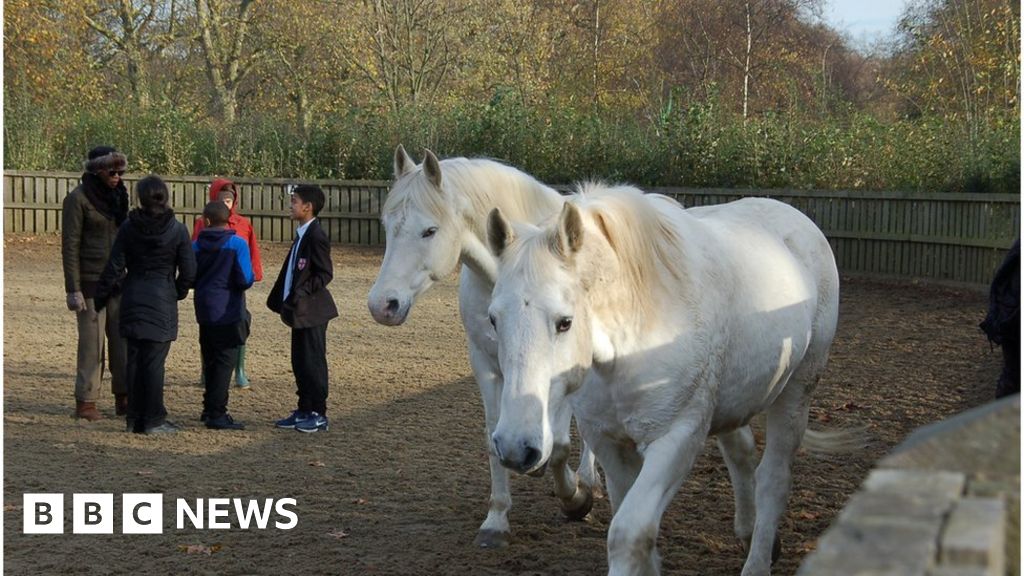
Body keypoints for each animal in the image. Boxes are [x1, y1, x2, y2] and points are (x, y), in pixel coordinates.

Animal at [367, 146, 601, 548]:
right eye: (387, 225)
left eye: (430, 230)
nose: (383, 305)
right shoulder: (486, 365)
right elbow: (494, 437)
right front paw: (496, 519)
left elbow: (559, 444)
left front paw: (575, 498)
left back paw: (589, 480)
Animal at [485, 183, 841, 576]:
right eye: (493, 319)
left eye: (565, 322)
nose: (515, 446)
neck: (638, 336)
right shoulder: (611, 444)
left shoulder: (677, 438)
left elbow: (628, 533)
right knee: (742, 454)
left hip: (795, 394)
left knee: (773, 480)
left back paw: (758, 559)